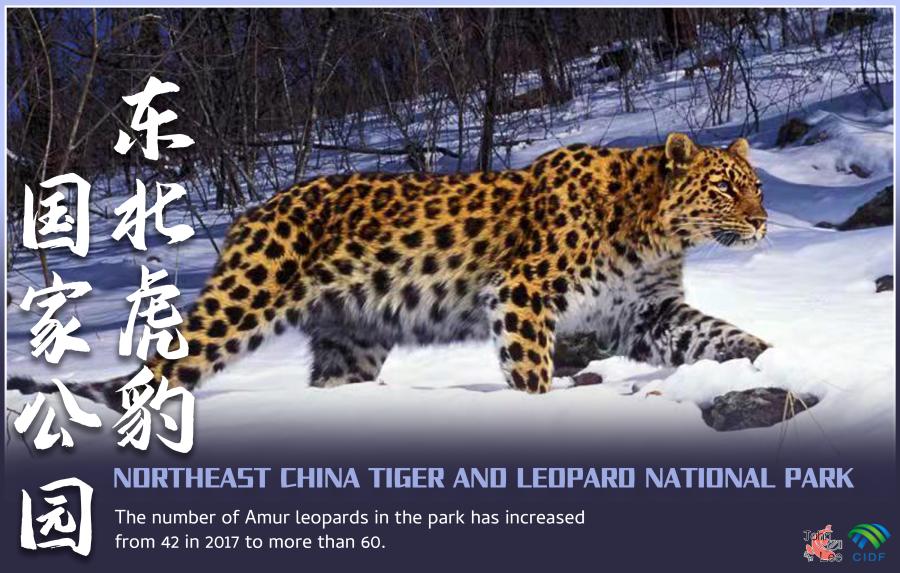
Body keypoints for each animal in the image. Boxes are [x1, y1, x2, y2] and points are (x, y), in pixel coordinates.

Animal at [9, 132, 770, 407]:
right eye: (725, 188)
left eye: (756, 186)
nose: (764, 221)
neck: (655, 231)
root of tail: (251, 213)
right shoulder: (521, 293)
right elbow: (529, 371)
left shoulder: (648, 312)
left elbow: (715, 333)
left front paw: (769, 358)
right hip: (239, 306)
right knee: (163, 371)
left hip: (351, 340)